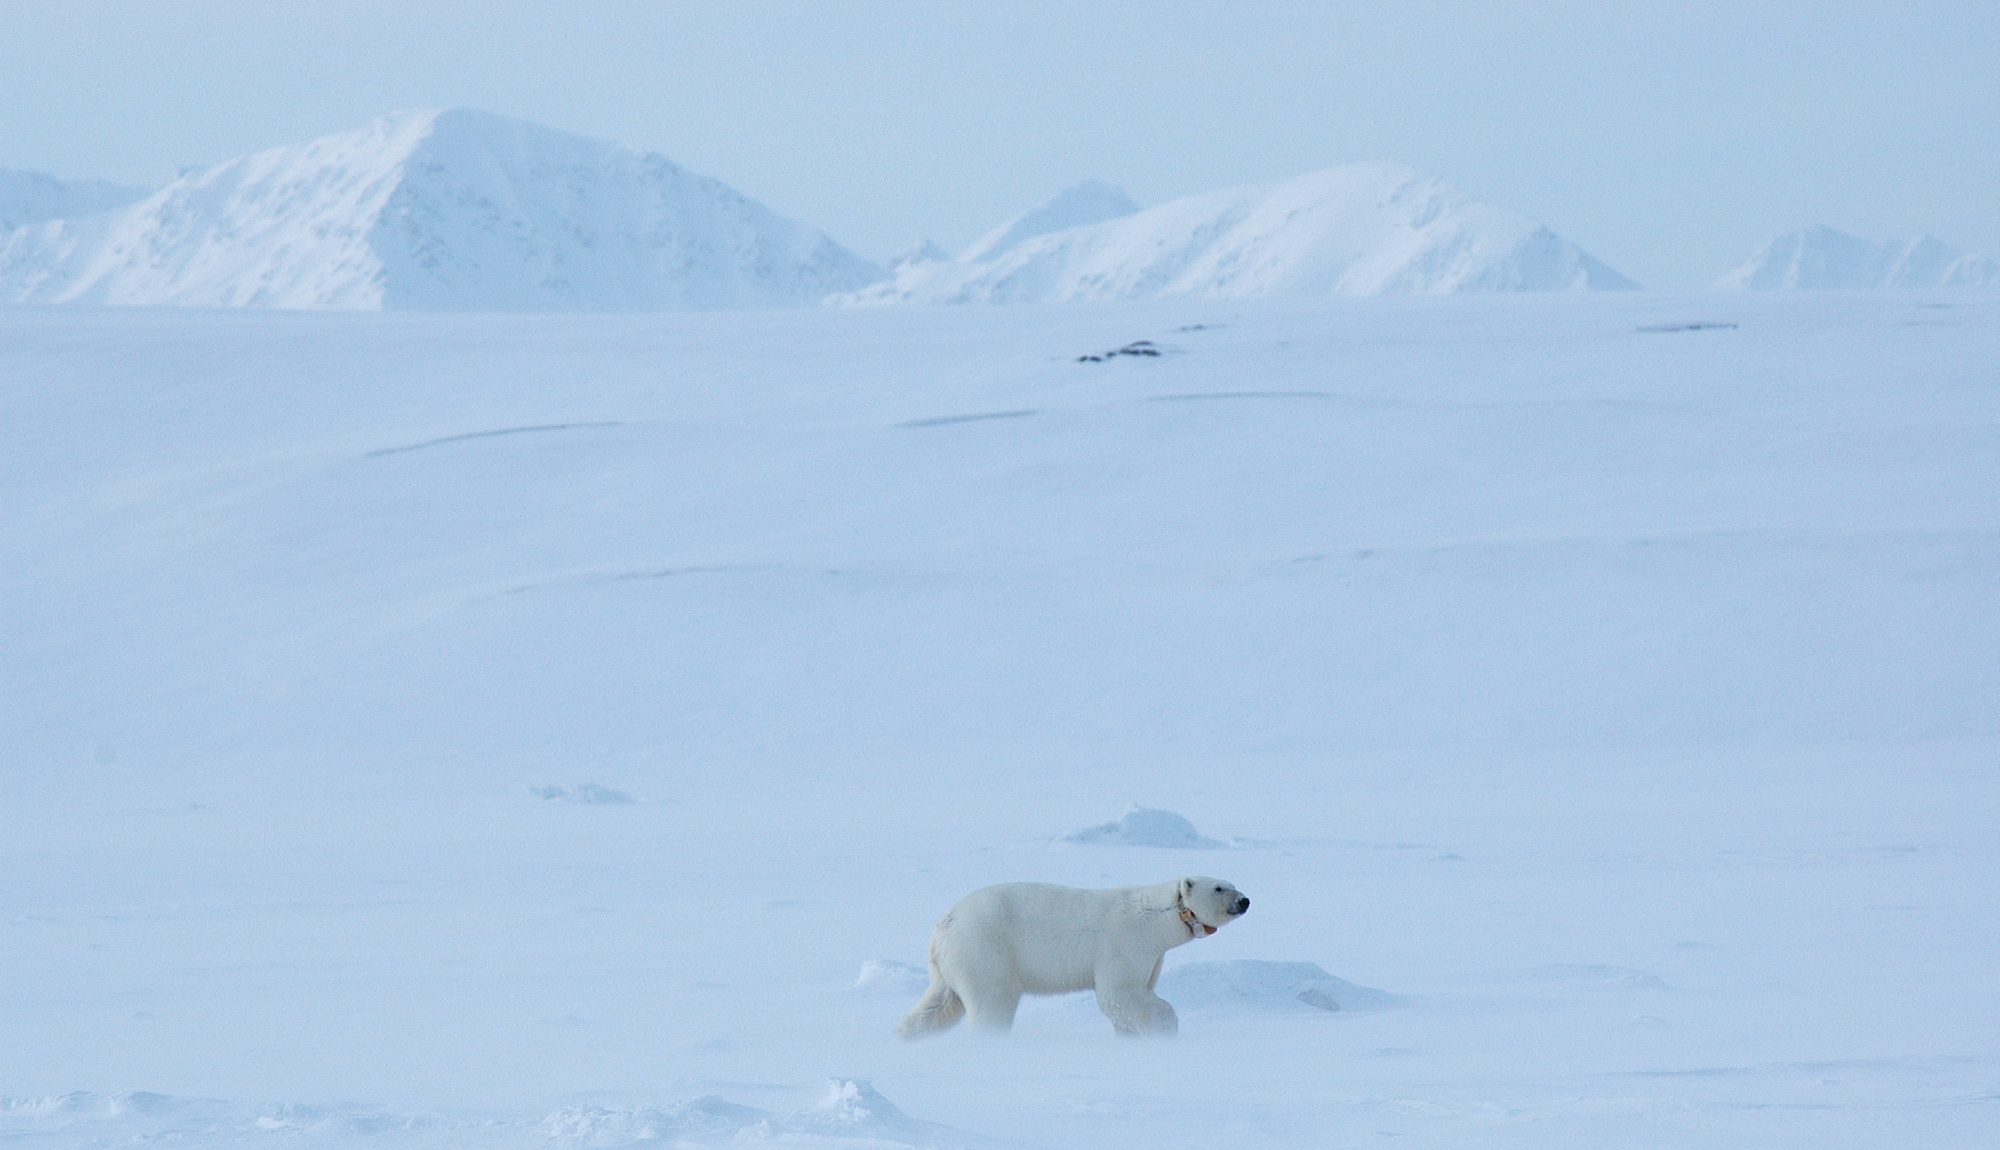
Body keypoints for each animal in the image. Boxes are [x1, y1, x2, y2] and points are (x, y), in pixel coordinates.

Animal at [897, 876, 1250, 1038]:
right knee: (991, 1003)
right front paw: (1166, 1027)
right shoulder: (1124, 943)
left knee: (937, 1007)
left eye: (1232, 883)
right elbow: (1119, 993)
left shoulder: (1152, 958)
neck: (1156, 914)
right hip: (985, 951)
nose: (1245, 901)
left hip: (951, 964)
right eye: (1219, 888)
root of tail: (943, 926)